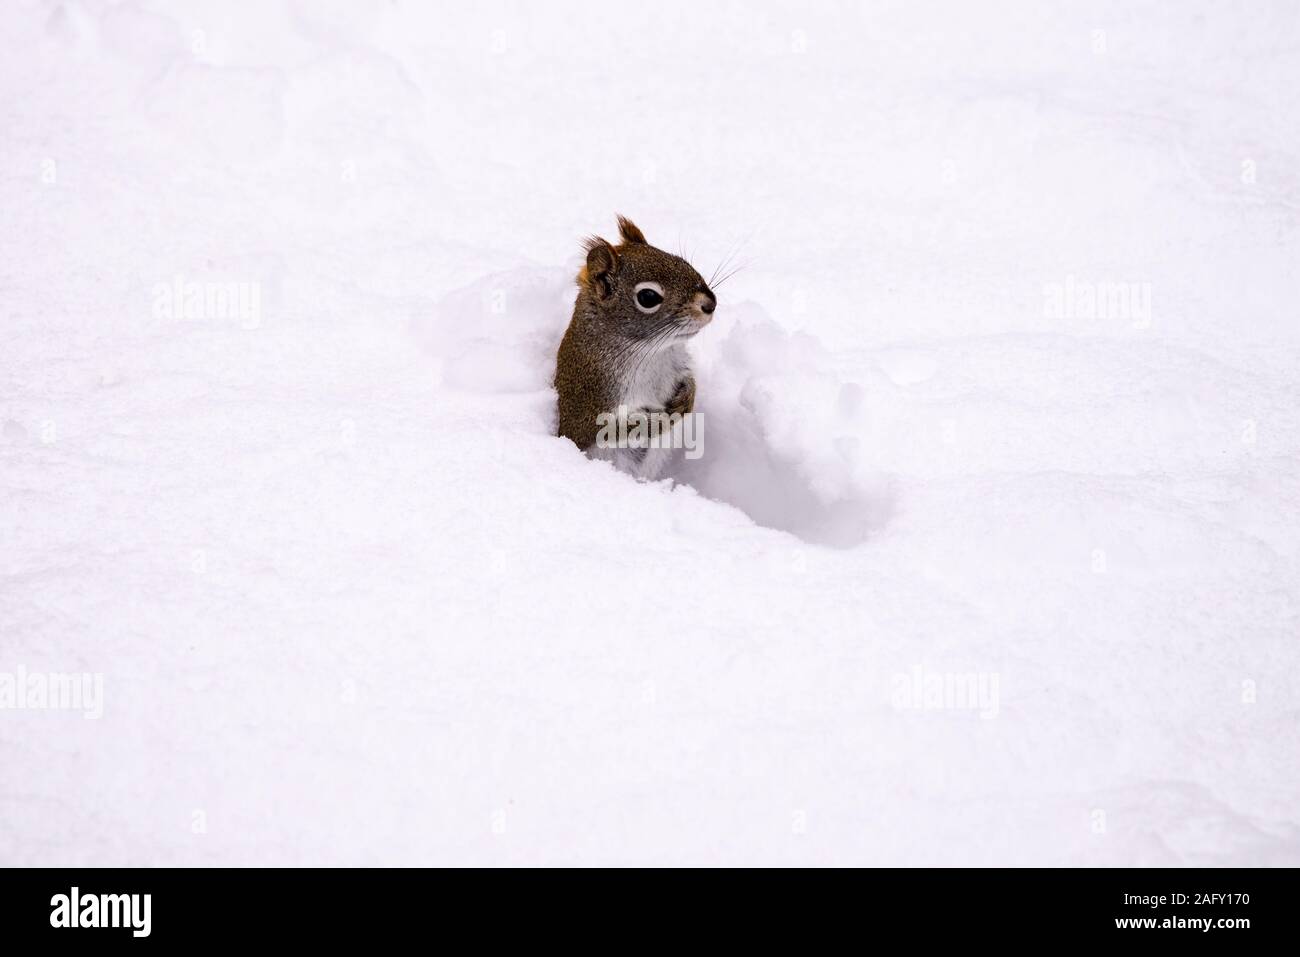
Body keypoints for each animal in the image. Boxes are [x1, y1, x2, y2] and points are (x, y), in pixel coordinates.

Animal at [555, 215, 716, 479]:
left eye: (681, 262)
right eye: (648, 297)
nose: (710, 304)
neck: (652, 352)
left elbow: (689, 381)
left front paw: (687, 398)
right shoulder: (587, 405)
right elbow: (608, 430)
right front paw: (659, 421)